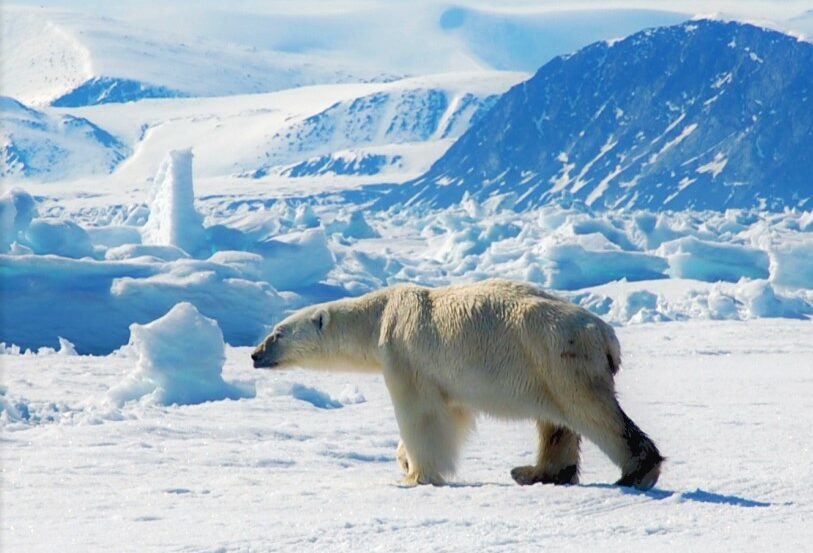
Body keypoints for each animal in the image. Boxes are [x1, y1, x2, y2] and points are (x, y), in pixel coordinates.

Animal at [252, 279, 663, 490]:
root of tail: (607, 335)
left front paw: (415, 475)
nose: (255, 354)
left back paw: (637, 472)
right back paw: (533, 472)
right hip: (546, 364)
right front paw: (403, 460)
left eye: (278, 332)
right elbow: (453, 410)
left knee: (589, 412)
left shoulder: (404, 352)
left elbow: (422, 416)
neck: (382, 314)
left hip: (556, 353)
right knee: (556, 423)